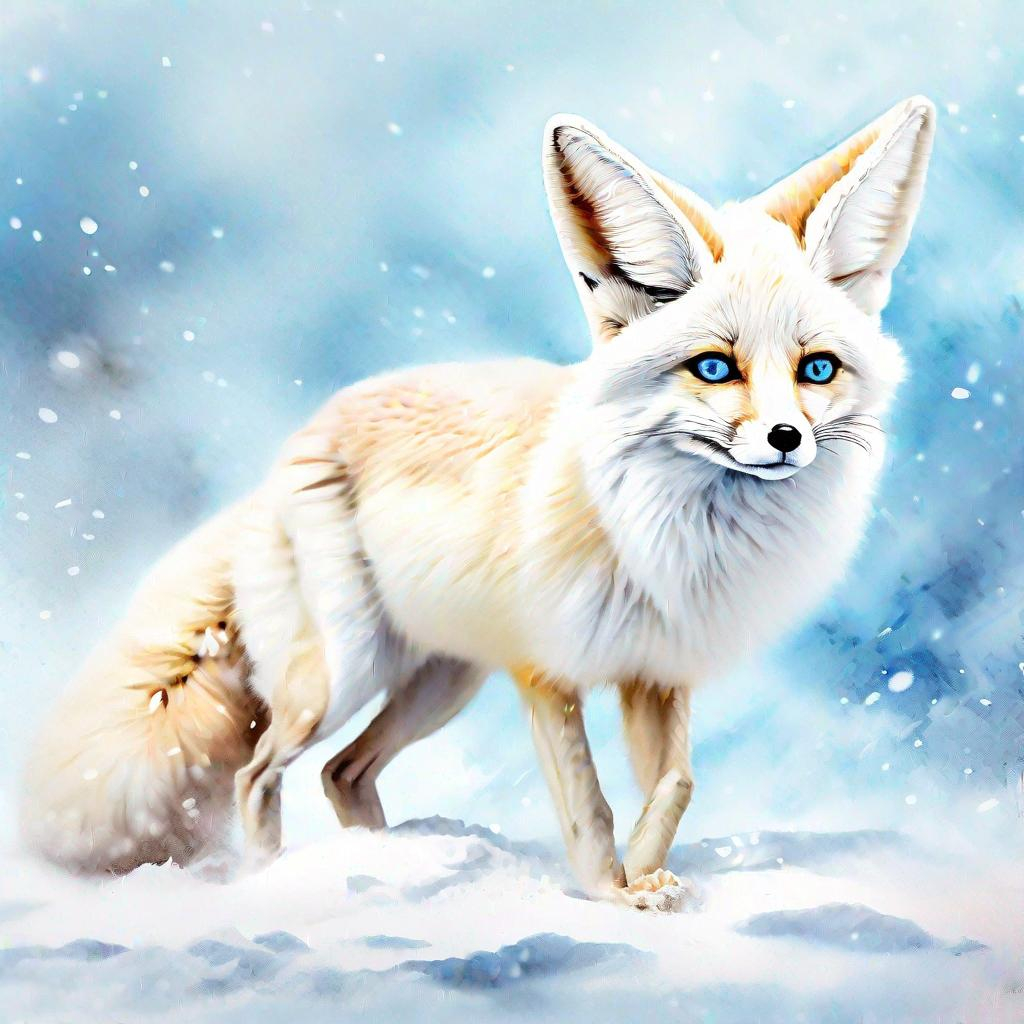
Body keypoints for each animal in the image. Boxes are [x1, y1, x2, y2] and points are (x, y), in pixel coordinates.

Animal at [23, 96, 934, 909]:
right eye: (714, 368)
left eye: (817, 370)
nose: (786, 438)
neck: (668, 542)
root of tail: (289, 453)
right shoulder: (546, 674)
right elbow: (590, 806)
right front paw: (610, 894)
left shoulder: (656, 674)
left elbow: (675, 784)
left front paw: (649, 879)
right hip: (341, 679)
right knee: (259, 774)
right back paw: (272, 882)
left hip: (441, 682)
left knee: (341, 773)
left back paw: (394, 863)